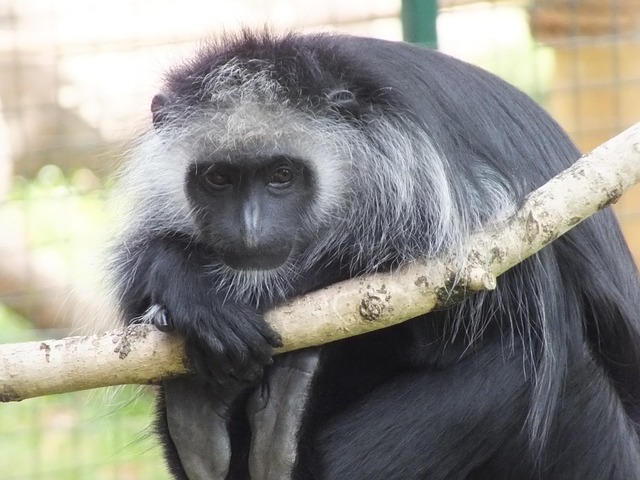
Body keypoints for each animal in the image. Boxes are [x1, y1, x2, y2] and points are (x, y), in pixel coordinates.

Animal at [109, 31, 640, 479]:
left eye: (282, 175)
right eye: (218, 178)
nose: (251, 231)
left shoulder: (432, 177)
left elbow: (469, 305)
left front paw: (211, 297)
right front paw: (181, 282)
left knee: (526, 359)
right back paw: (204, 422)